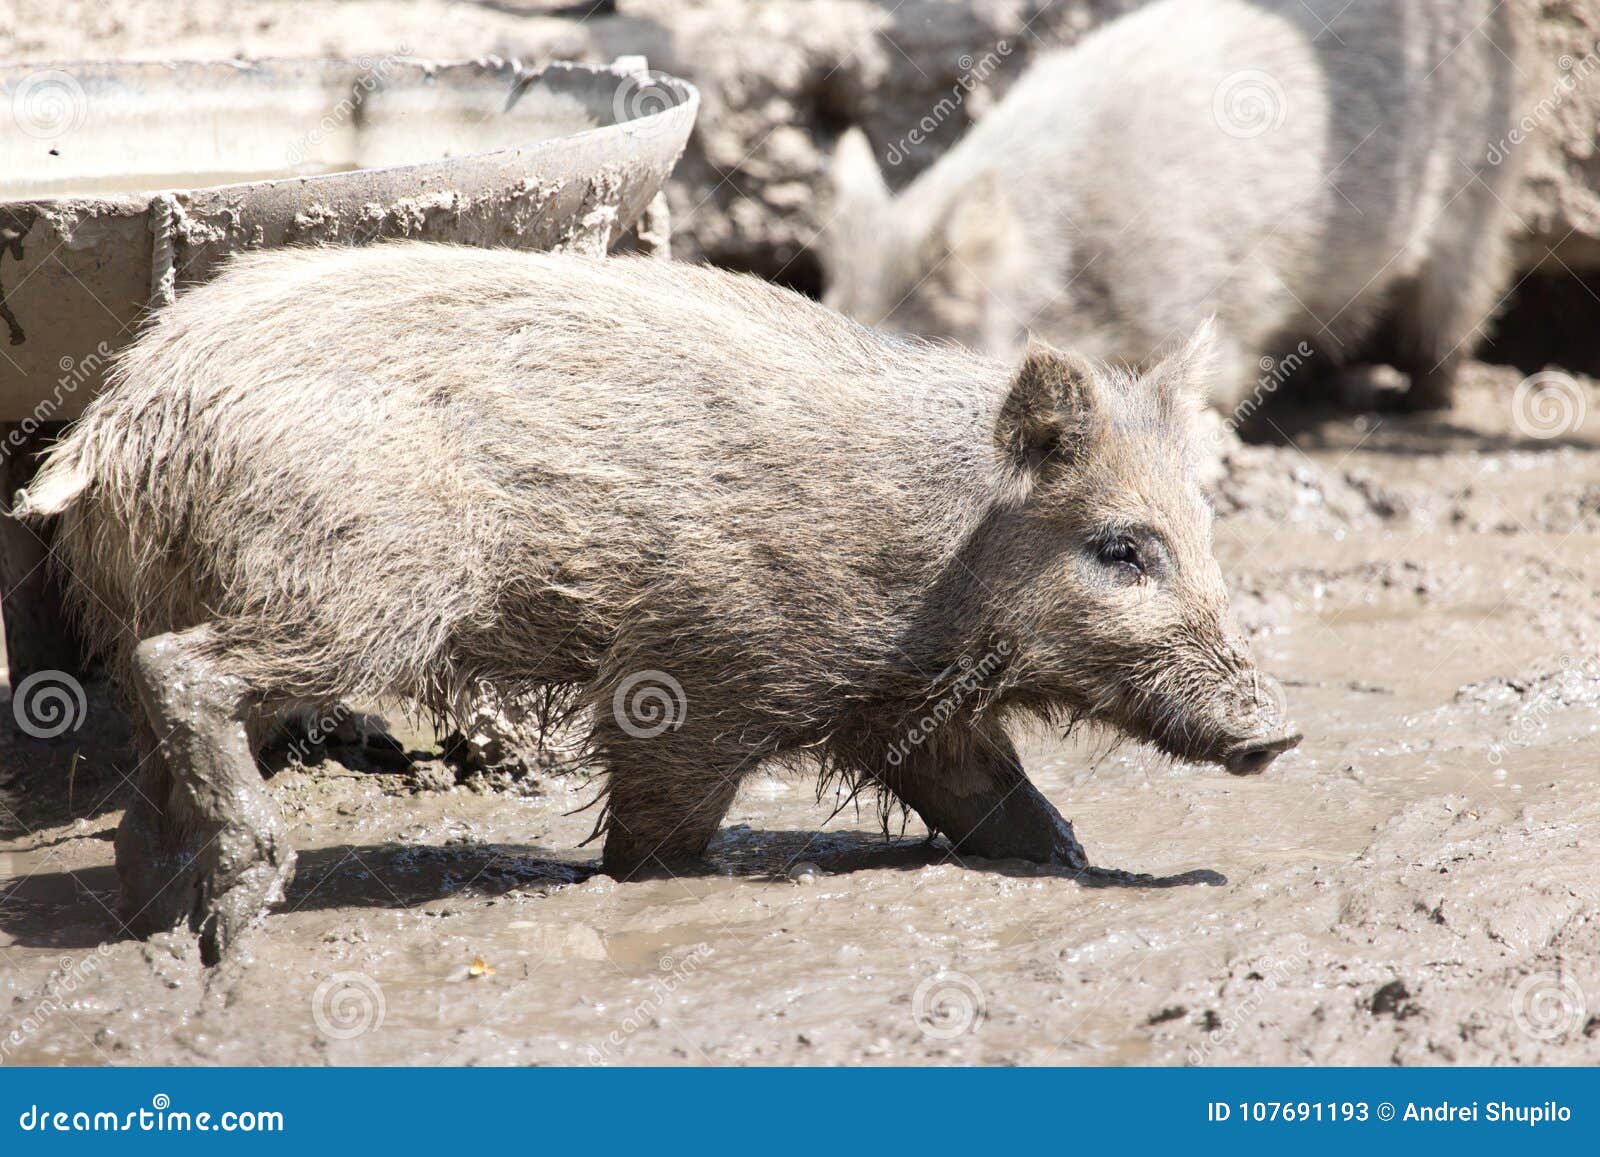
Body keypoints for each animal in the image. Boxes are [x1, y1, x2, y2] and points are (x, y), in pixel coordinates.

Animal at [15, 243, 1299, 961]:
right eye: (1121, 548)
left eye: (1205, 533)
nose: (1280, 728)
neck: (939, 545)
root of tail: (124, 414)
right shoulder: (691, 677)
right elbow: (656, 842)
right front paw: (659, 895)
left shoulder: (912, 714)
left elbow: (1021, 819)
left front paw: (1078, 867)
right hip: (357, 594)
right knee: (182, 670)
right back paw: (239, 919)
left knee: (148, 769)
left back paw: (165, 931)